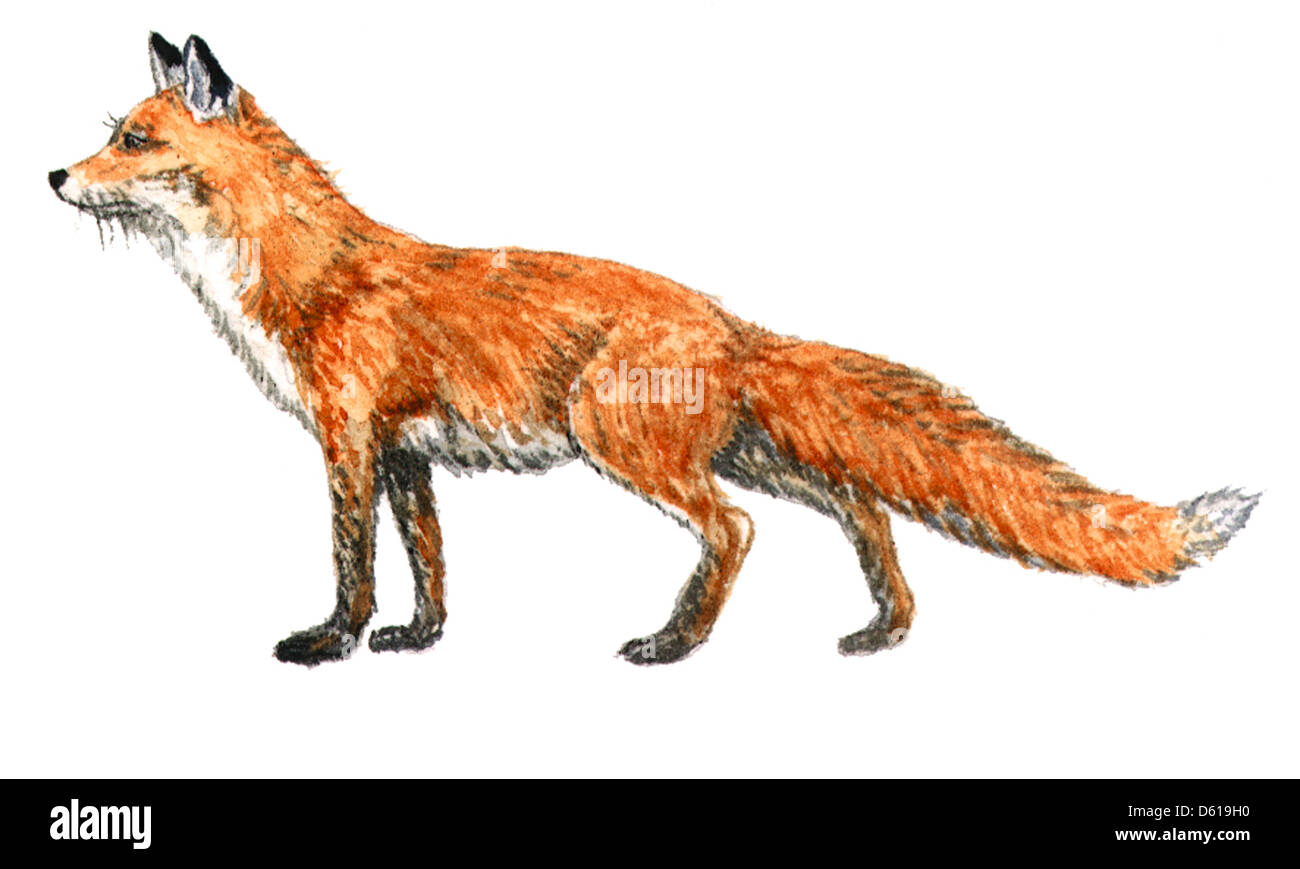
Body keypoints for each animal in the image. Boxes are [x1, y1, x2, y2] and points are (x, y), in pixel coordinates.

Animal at [50, 33, 1258, 666]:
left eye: (135, 142)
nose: (56, 175)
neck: (303, 275)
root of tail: (733, 321)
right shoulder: (407, 452)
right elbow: (429, 558)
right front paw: (419, 637)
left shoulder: (348, 439)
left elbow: (352, 561)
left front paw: (332, 640)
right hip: (750, 451)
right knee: (861, 505)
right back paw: (881, 628)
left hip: (631, 446)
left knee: (738, 532)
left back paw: (675, 643)